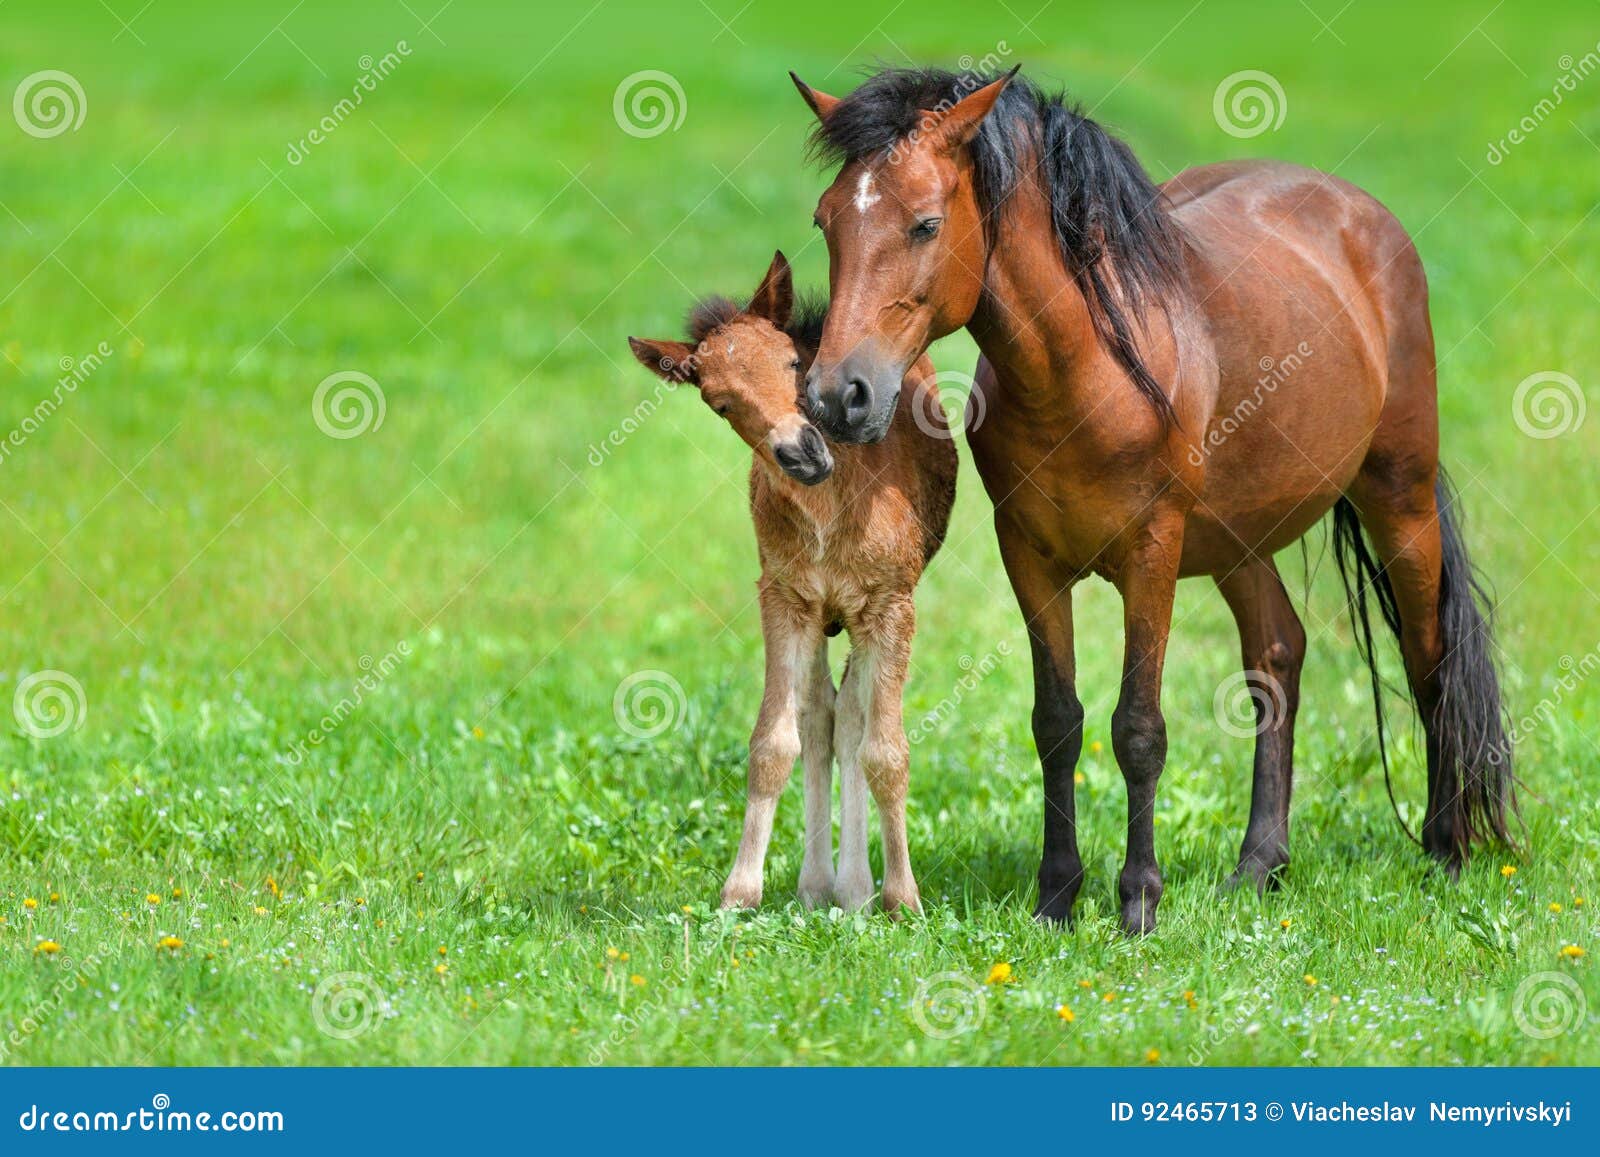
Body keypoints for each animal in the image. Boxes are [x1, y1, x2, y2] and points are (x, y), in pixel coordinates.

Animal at [628, 251, 957, 914]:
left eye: (792, 362)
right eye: (719, 403)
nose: (803, 452)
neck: (829, 511)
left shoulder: (891, 603)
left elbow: (886, 750)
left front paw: (902, 897)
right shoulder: (785, 599)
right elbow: (774, 742)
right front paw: (739, 891)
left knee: (851, 716)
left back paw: (855, 887)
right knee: (822, 714)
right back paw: (820, 884)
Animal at [787, 65, 1515, 934]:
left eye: (925, 224)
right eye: (827, 220)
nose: (838, 396)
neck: (1087, 369)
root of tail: (1364, 217)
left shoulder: (1152, 553)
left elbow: (1138, 727)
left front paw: (1137, 898)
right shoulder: (1028, 556)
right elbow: (1057, 722)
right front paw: (1058, 894)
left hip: (1397, 498)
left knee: (1429, 656)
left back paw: (1445, 850)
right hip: (1239, 539)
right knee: (1278, 652)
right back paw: (1258, 865)